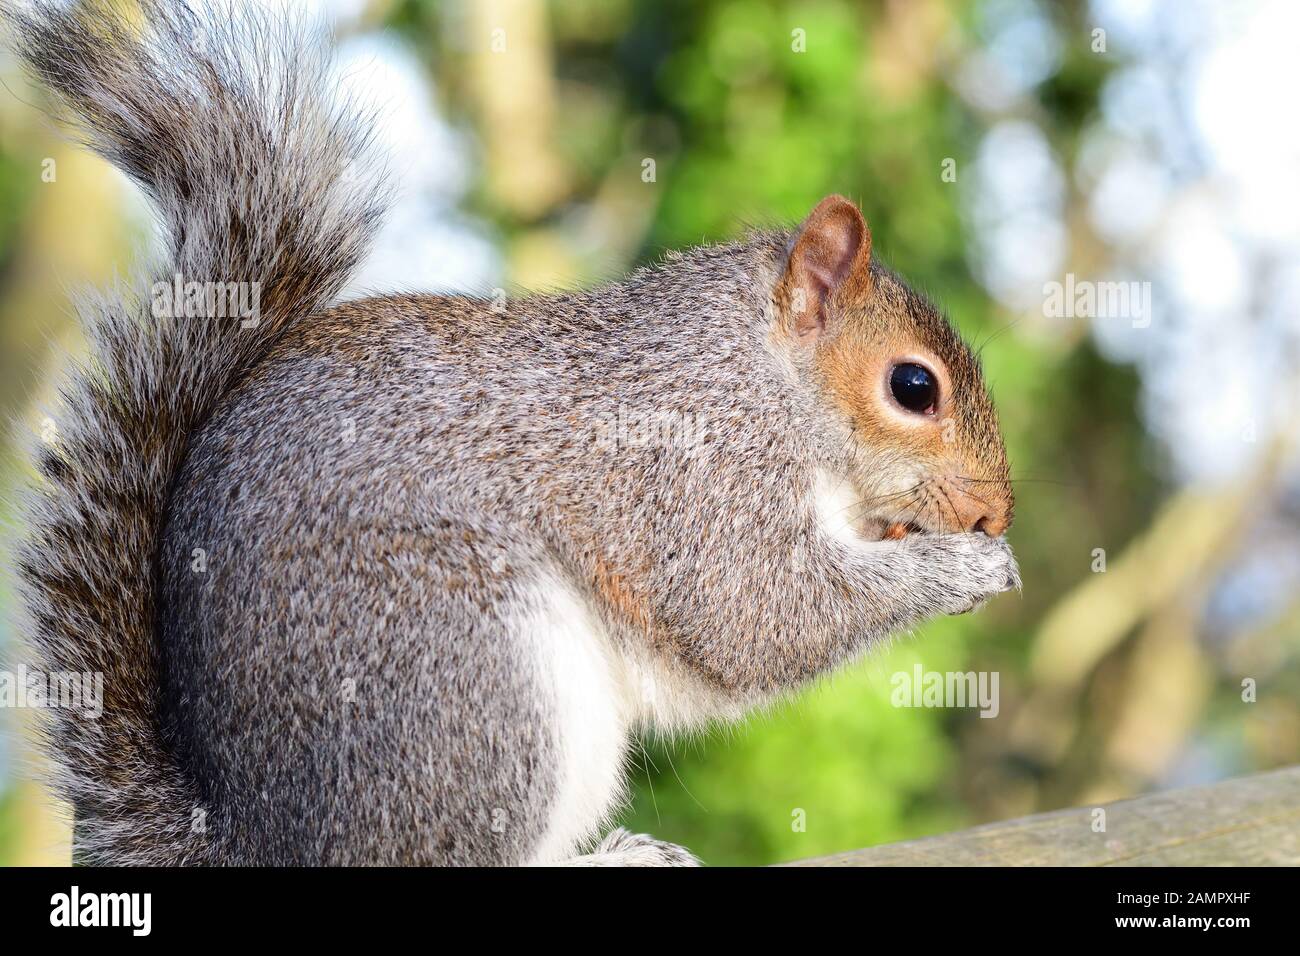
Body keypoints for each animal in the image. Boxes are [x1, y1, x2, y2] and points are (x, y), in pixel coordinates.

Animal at [7, 0, 1019, 866]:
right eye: (913, 386)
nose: (997, 510)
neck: (761, 376)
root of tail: (255, 841)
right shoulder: (696, 476)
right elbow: (754, 616)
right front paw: (963, 568)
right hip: (480, 677)